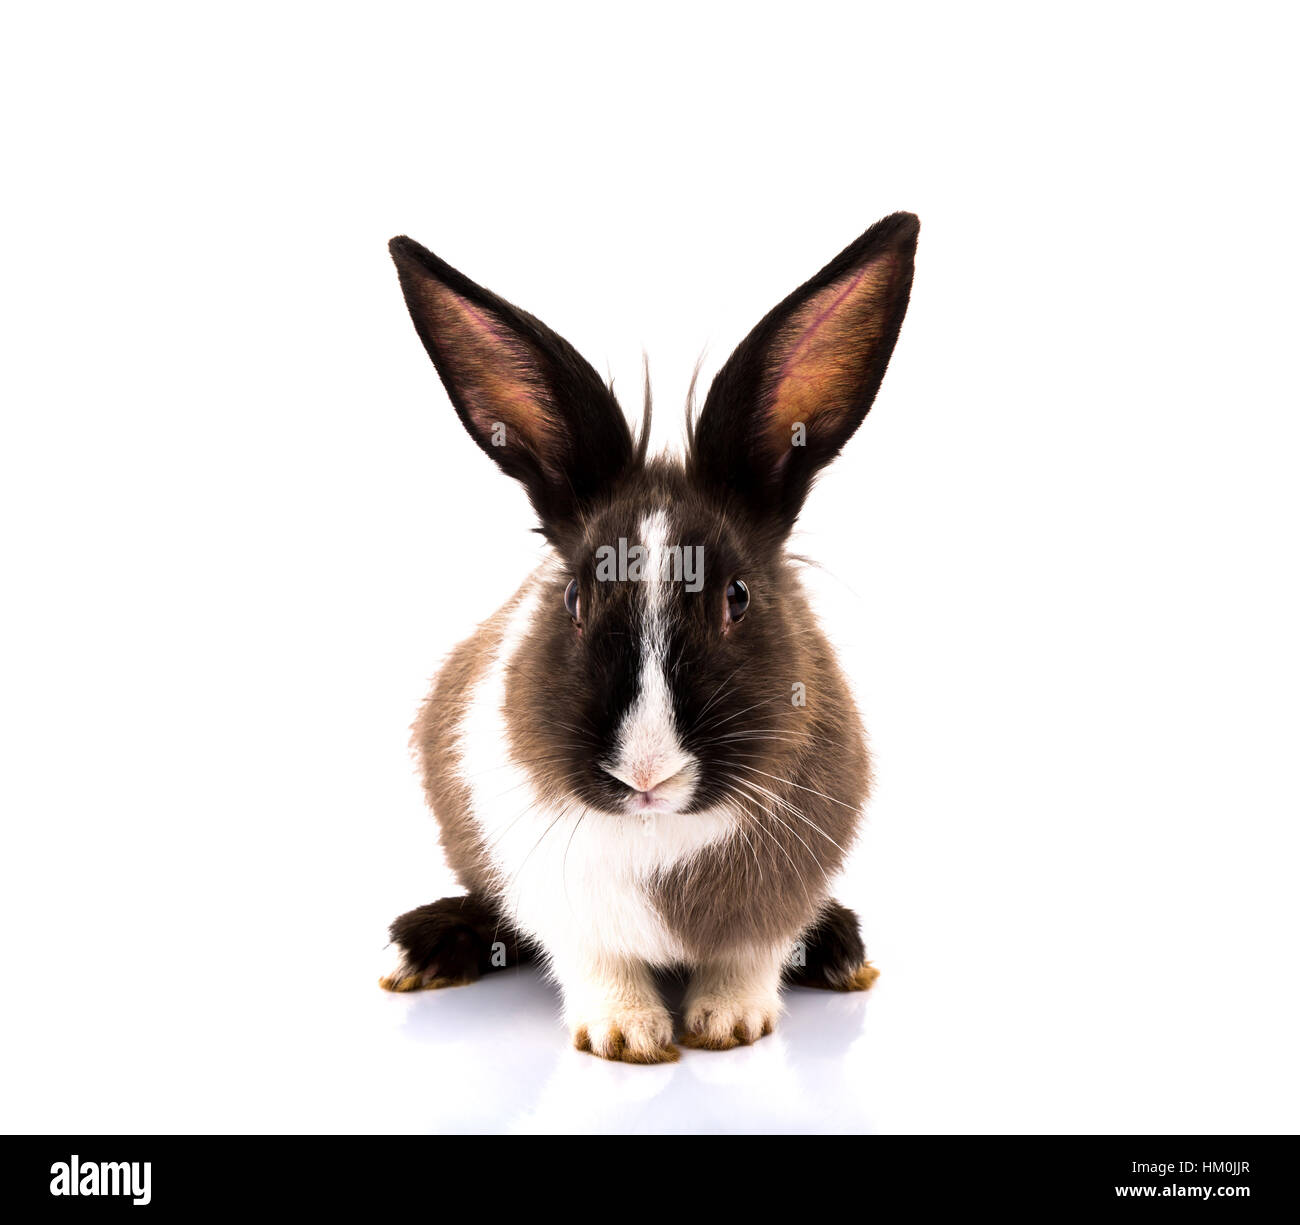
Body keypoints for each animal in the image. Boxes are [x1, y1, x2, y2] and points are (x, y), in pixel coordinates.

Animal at [380, 212, 919, 1062]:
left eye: (737, 596)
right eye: (573, 596)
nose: (646, 772)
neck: (658, 829)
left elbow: (749, 953)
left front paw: (731, 1021)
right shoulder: (553, 890)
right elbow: (593, 959)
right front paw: (626, 1033)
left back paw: (837, 949)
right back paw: (427, 945)